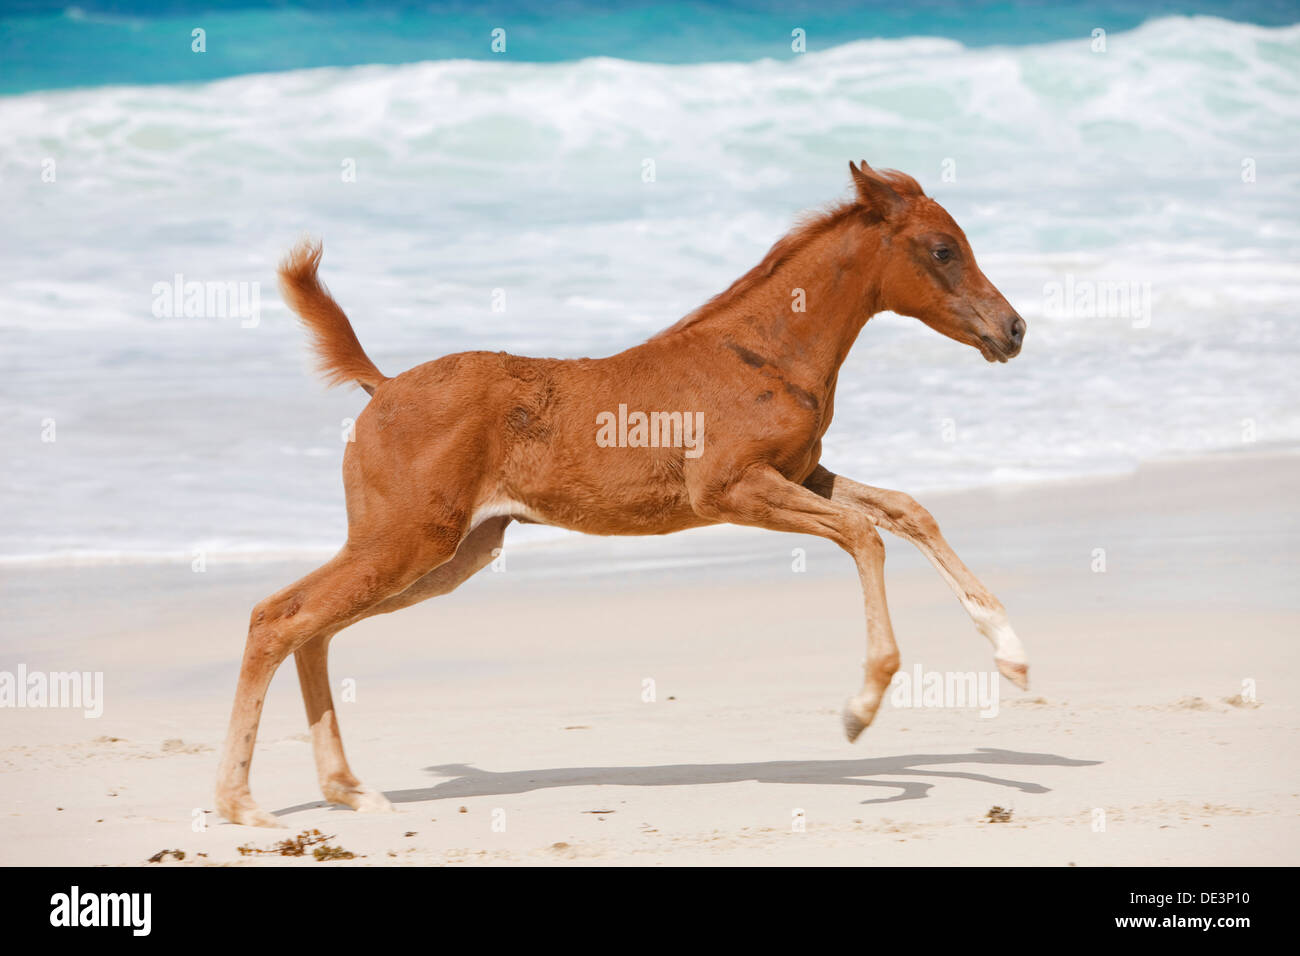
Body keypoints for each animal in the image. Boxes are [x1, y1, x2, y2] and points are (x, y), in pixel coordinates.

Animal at [215, 161, 1028, 826]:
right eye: (943, 250)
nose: (1014, 328)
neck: (765, 351)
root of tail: (379, 386)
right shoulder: (731, 490)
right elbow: (866, 535)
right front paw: (862, 707)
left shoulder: (802, 474)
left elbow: (908, 510)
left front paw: (1011, 652)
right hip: (406, 541)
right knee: (277, 617)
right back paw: (240, 802)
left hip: (450, 555)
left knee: (312, 627)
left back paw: (347, 789)